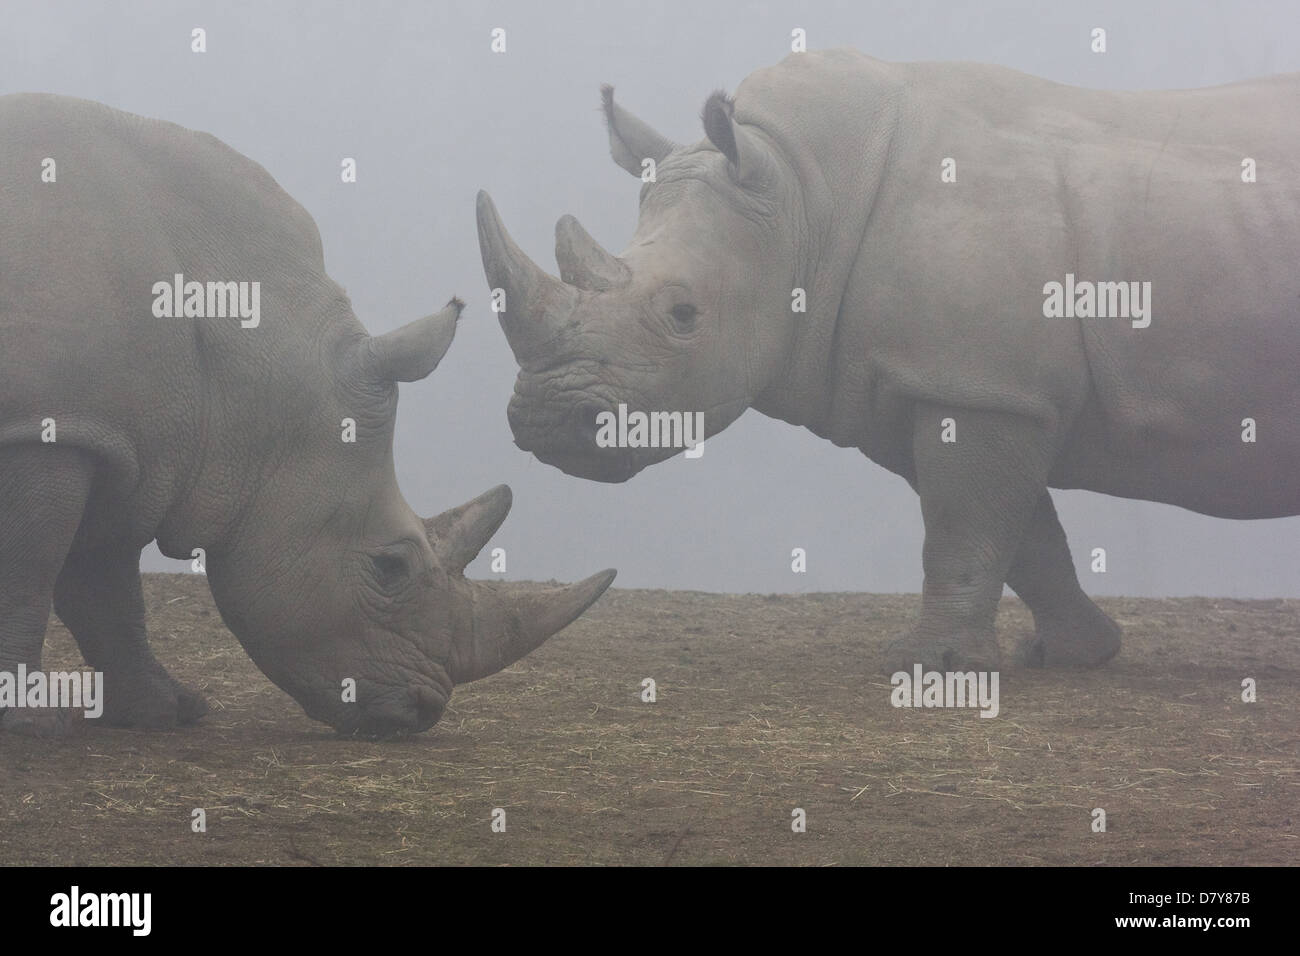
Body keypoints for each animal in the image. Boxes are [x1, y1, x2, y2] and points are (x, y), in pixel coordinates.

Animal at [0, 93, 614, 737]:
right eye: (390, 567)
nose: (421, 712)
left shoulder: (123, 441)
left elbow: (104, 586)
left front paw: (169, 711)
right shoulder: (47, 428)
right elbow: (27, 571)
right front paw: (33, 725)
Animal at [477, 49, 1299, 673]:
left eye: (683, 315)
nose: (545, 423)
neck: (803, 196)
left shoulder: (981, 384)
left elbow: (964, 522)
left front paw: (932, 669)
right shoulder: (943, 380)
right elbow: (1021, 532)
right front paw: (1072, 655)